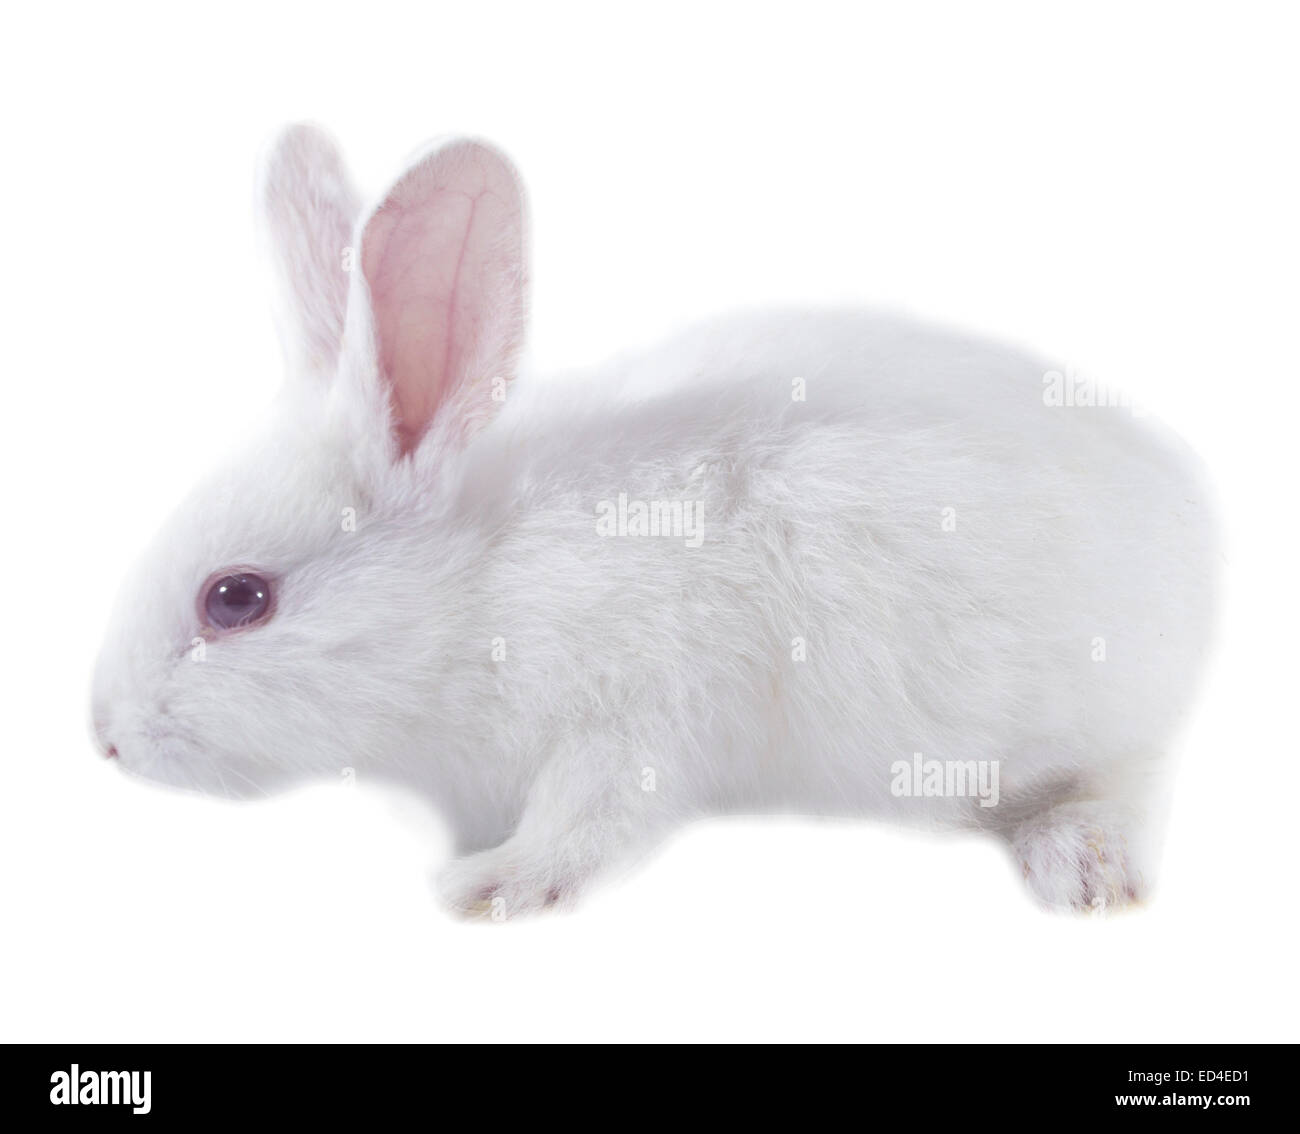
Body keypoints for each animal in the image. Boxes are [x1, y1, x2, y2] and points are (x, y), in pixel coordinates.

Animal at [91, 124, 1219, 918]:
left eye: (237, 599)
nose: (103, 740)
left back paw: (1081, 863)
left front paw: (489, 888)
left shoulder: (623, 718)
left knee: (1134, 774)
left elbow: (588, 825)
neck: (475, 586)